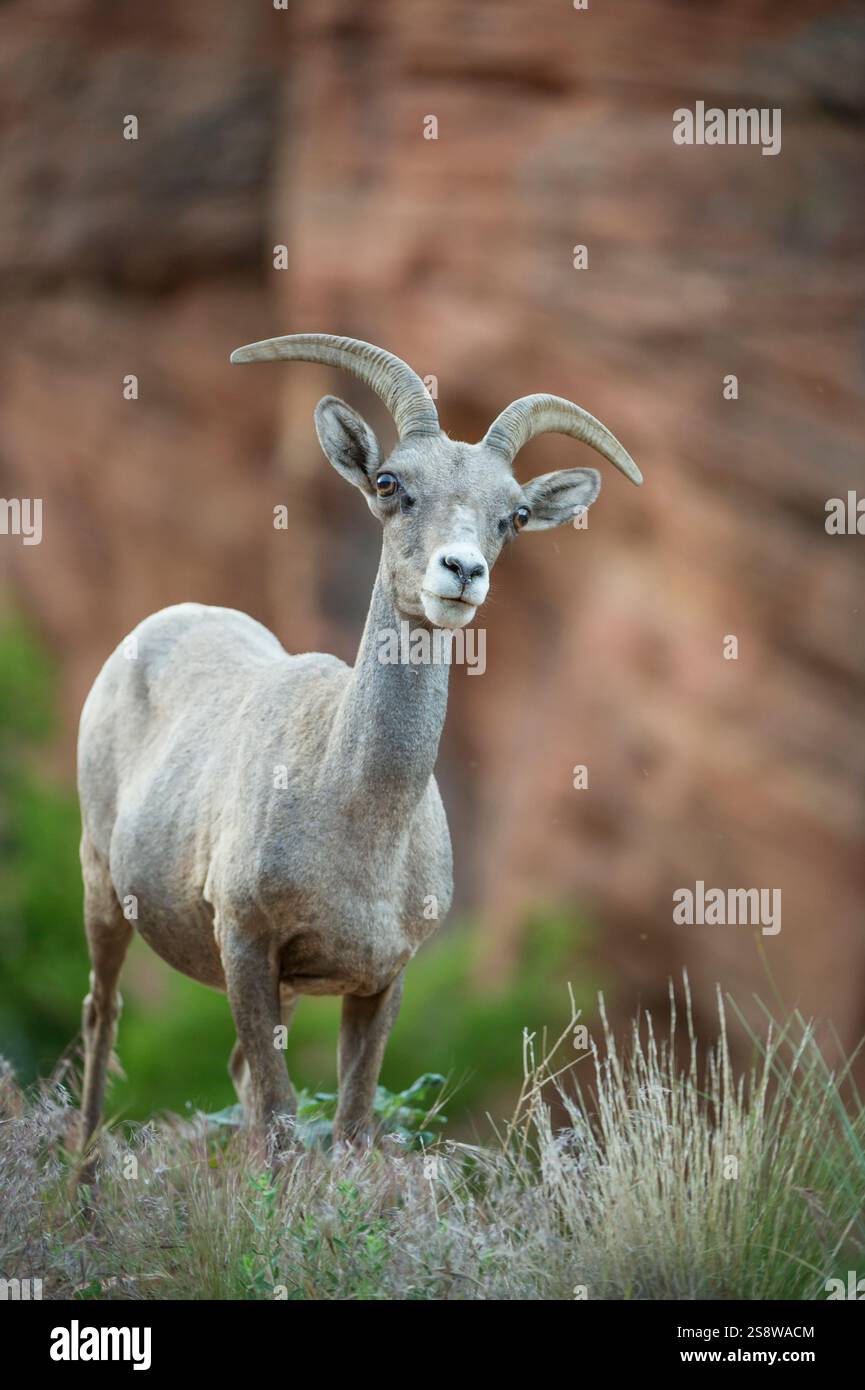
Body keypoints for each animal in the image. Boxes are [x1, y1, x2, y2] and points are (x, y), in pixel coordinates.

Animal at [76, 333, 641, 1162]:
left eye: (512, 515)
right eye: (389, 482)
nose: (460, 572)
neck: (354, 816)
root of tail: (162, 624)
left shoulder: (378, 979)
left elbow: (347, 1124)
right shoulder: (245, 944)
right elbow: (282, 1118)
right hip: (102, 889)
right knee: (102, 1018)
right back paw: (78, 1185)